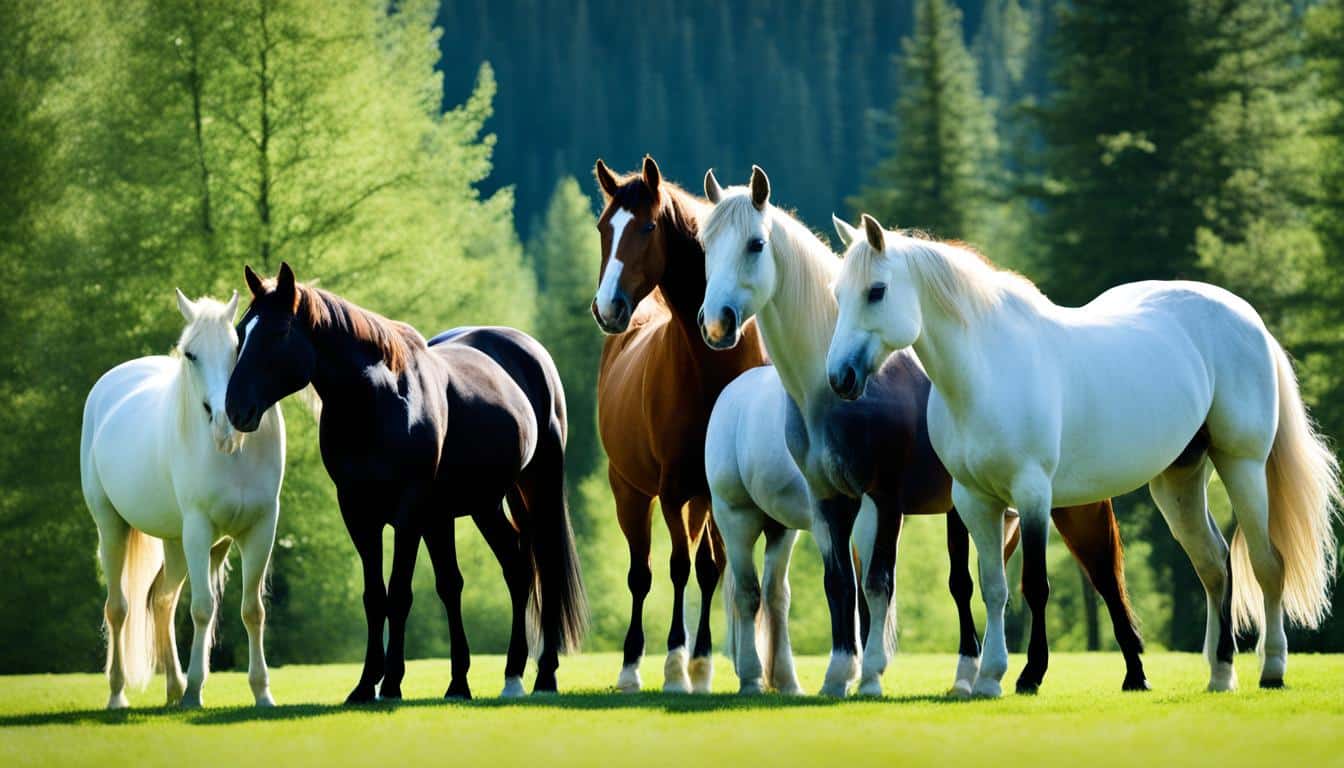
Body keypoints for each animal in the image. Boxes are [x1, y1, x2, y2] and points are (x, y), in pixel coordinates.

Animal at [81, 290, 285, 709]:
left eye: (237, 347)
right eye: (190, 354)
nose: (226, 421)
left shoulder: (259, 530)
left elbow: (252, 611)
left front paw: (262, 693)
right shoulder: (198, 530)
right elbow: (202, 609)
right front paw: (195, 693)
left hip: (175, 543)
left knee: (162, 600)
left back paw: (173, 687)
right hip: (113, 528)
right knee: (119, 608)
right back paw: (118, 694)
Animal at [225, 263, 586, 702]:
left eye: (278, 332)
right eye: (241, 331)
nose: (235, 409)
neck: (376, 400)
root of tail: (529, 350)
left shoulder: (409, 511)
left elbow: (399, 594)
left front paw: (392, 682)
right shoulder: (359, 513)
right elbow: (378, 596)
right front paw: (369, 683)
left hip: (539, 484)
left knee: (546, 567)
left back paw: (544, 674)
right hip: (481, 504)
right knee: (514, 569)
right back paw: (507, 674)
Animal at [591, 156, 767, 692]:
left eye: (648, 227)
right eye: (604, 228)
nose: (608, 308)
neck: (710, 370)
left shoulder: (713, 491)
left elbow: (709, 568)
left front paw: (701, 663)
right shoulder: (671, 491)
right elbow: (675, 567)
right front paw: (674, 664)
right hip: (629, 491)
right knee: (641, 572)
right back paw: (631, 666)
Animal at [700, 167, 1148, 696]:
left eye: (755, 244)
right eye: (705, 244)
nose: (717, 323)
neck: (829, 397)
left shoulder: (884, 499)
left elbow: (878, 584)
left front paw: (870, 675)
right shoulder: (828, 500)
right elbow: (840, 586)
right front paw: (838, 675)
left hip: (1069, 505)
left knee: (1105, 577)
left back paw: (1130, 671)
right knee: (980, 583)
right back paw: (974, 674)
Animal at [828, 214, 1341, 696]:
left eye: (876, 291)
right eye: (837, 292)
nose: (840, 378)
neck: (987, 369)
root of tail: (1247, 319)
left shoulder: (1033, 495)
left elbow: (1034, 586)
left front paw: (1029, 674)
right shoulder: (975, 502)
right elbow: (993, 588)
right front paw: (989, 677)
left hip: (1242, 464)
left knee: (1267, 562)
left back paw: (1272, 668)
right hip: (1178, 481)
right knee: (1214, 565)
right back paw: (1220, 672)